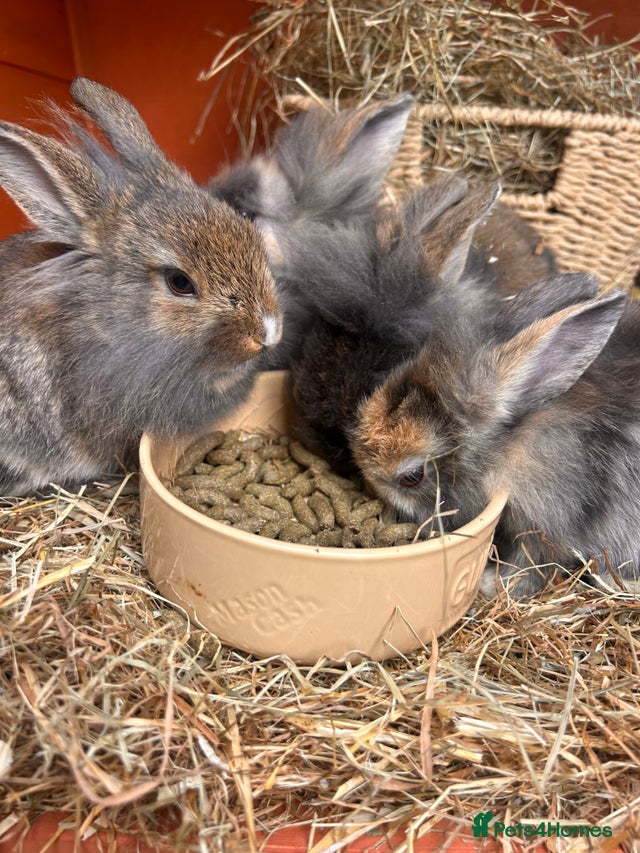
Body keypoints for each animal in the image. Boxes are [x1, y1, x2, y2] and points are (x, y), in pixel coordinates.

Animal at [350, 276, 640, 597]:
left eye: (412, 476)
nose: (370, 482)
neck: (508, 446)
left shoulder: (550, 525)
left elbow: (534, 563)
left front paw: (492, 583)